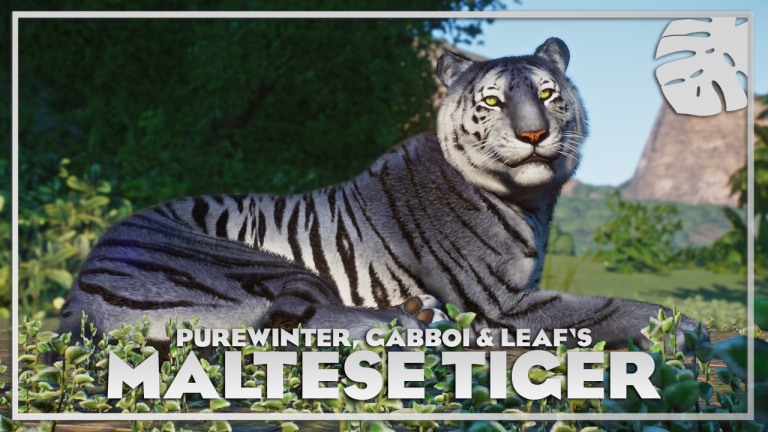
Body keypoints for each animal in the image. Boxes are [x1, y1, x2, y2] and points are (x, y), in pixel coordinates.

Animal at [58, 37, 706, 351]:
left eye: (548, 93)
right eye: (494, 100)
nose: (533, 134)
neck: (533, 200)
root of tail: (74, 296)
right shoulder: (502, 301)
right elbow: (609, 307)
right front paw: (687, 326)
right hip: (254, 263)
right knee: (303, 319)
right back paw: (415, 321)